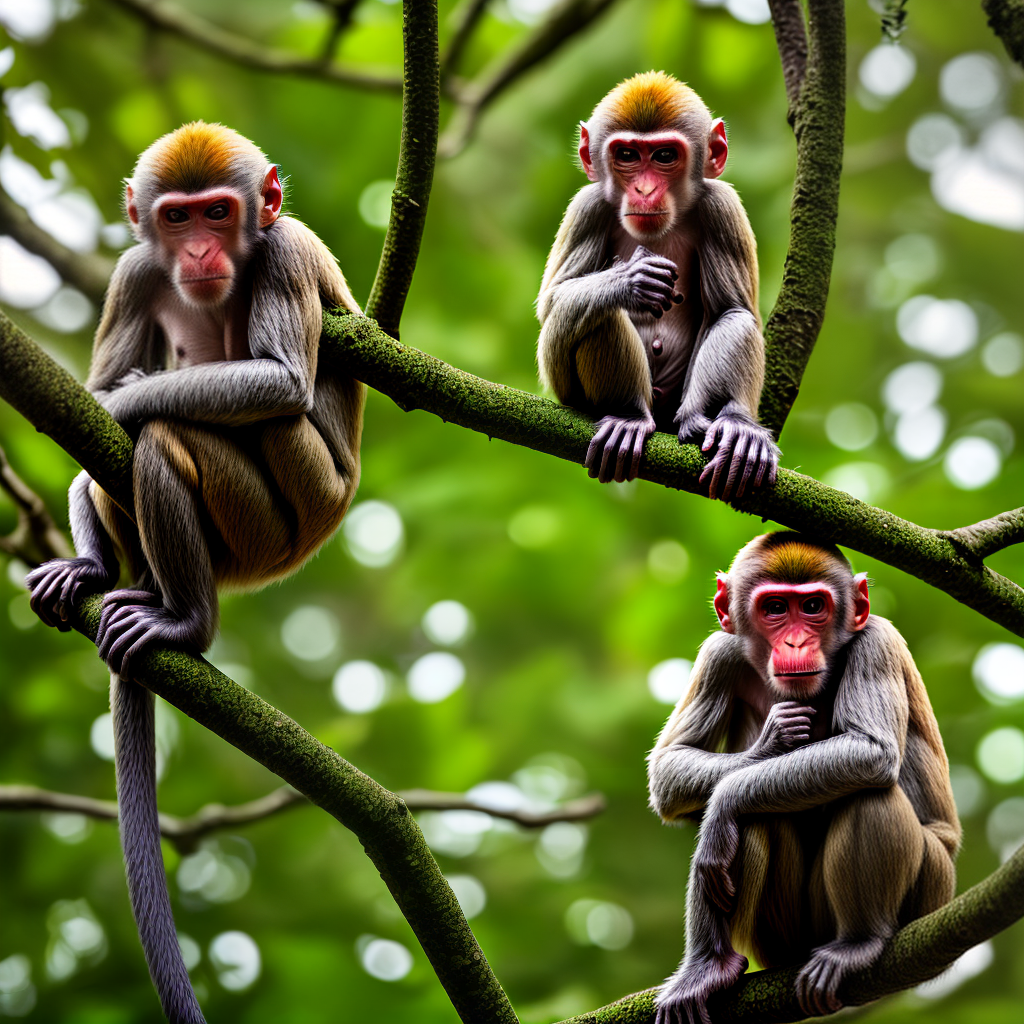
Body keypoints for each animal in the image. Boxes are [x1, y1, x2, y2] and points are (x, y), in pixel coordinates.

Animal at [25, 122, 363, 1024]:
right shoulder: (134, 270)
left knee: (167, 433)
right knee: (118, 462)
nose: (203, 248)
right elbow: (99, 389)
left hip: (279, 519)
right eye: (176, 218)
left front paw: (125, 403)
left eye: (220, 211)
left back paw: (186, 621)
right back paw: (112, 573)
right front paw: (83, 556)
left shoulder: (282, 249)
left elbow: (272, 378)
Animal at [536, 71, 779, 498]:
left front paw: (728, 421)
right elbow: (552, 301)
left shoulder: (722, 205)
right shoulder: (587, 205)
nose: (645, 191)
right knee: (596, 313)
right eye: (627, 155)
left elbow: (731, 310)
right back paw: (628, 414)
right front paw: (630, 280)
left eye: (665, 156)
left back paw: (734, 426)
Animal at [647, 533, 959, 1024]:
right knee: (754, 820)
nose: (795, 642)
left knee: (869, 794)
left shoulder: (877, 639)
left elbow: (871, 752)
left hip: (933, 893)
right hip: (779, 938)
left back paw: (858, 944)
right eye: (775, 608)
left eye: (813, 606)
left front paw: (725, 800)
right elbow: (668, 769)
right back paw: (710, 966)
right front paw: (771, 742)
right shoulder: (718, 652)